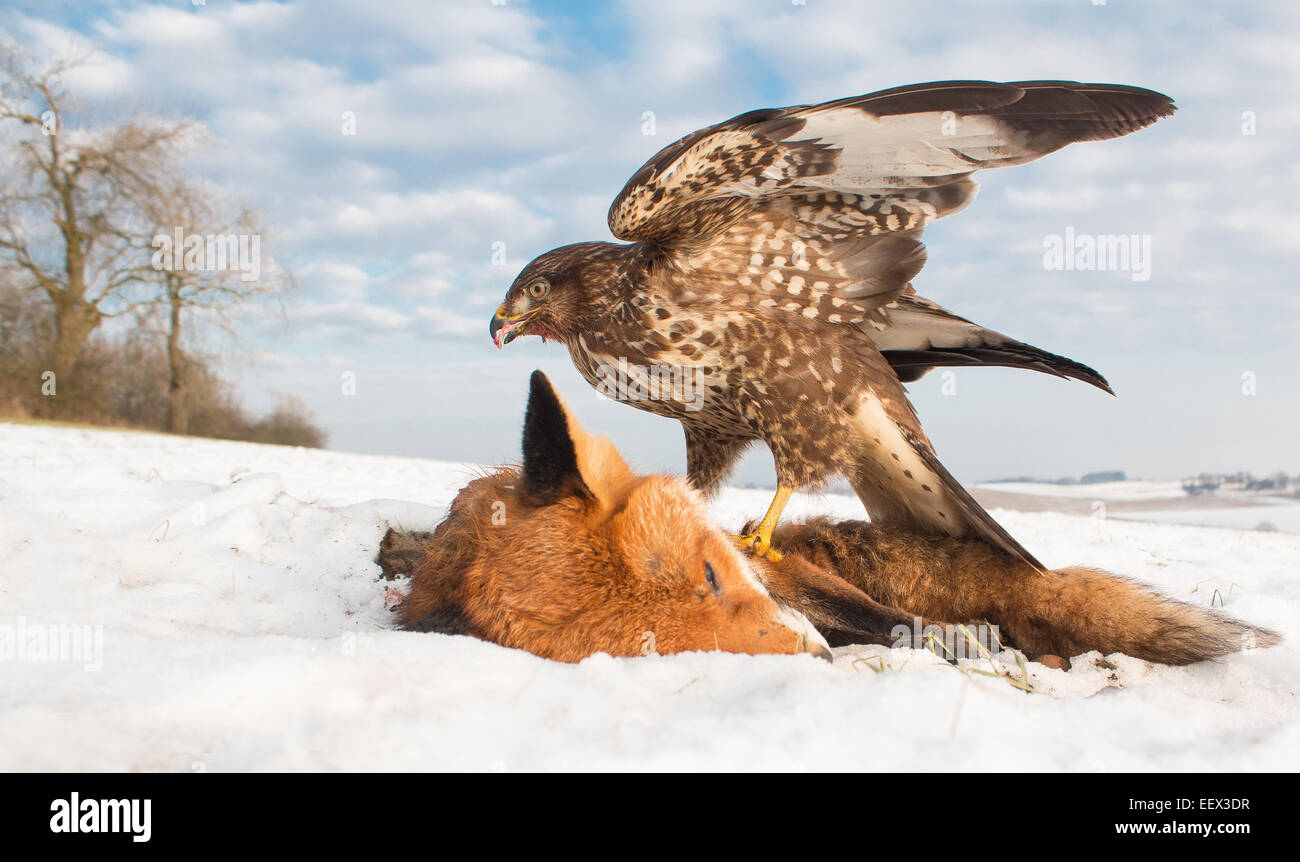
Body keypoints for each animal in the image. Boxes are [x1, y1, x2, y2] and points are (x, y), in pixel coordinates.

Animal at [387, 370, 1280, 666]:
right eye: (677, 649)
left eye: (710, 572)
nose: (812, 656)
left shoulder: (781, 573)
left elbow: (894, 624)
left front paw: (943, 641)